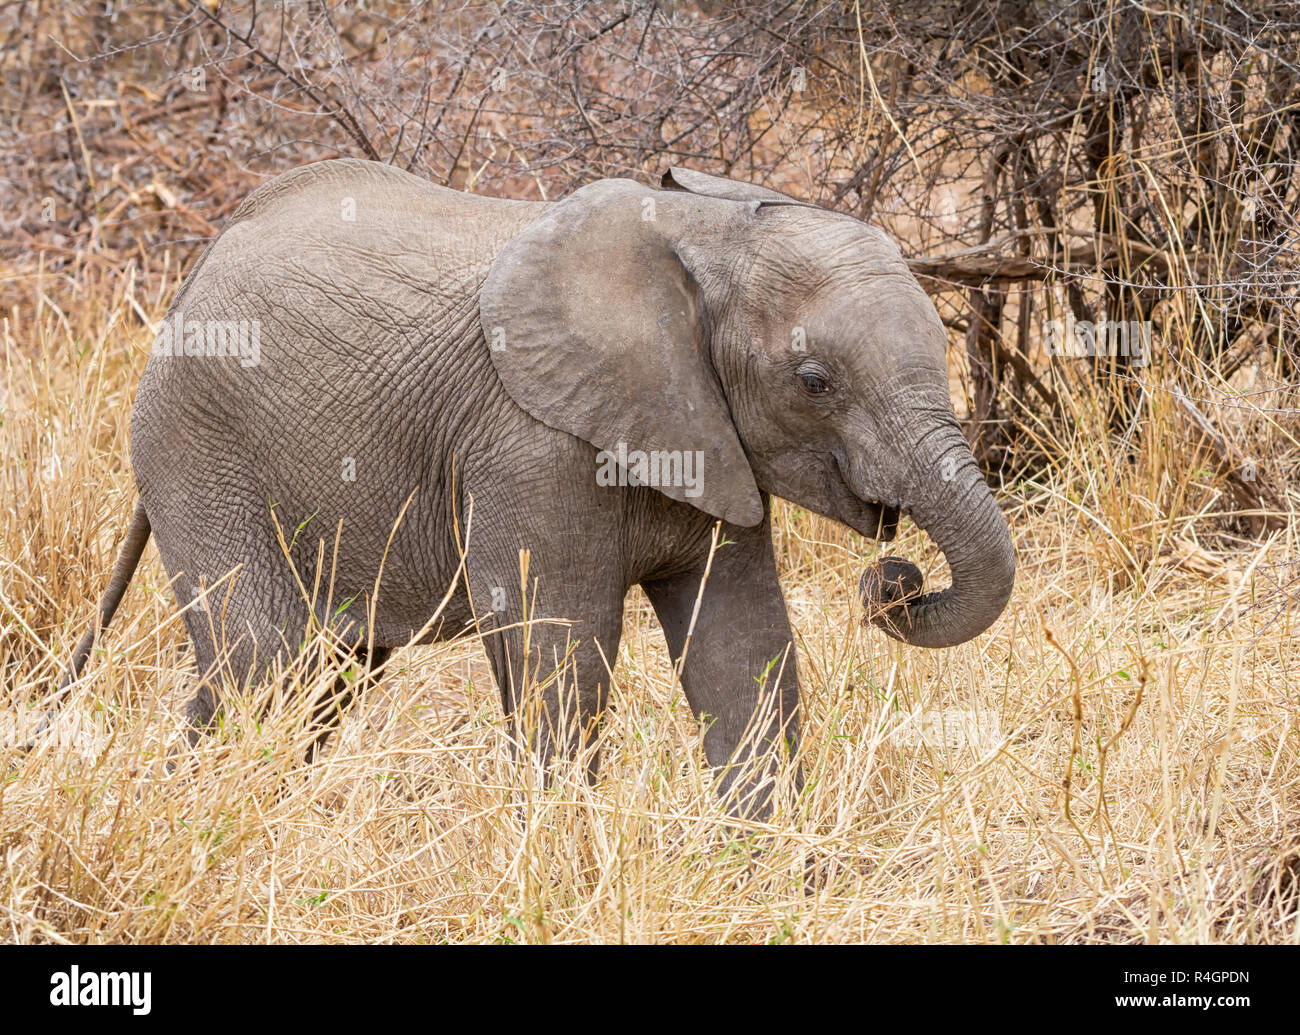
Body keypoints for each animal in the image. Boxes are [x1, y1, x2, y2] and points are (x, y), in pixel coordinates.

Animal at [58, 158, 1015, 816]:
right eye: (815, 381)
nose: (894, 580)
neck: (701, 232)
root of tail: (203, 262)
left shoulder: (711, 441)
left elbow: (744, 649)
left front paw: (779, 879)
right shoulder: (532, 446)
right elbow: (562, 648)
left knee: (317, 673)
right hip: (195, 445)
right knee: (266, 664)